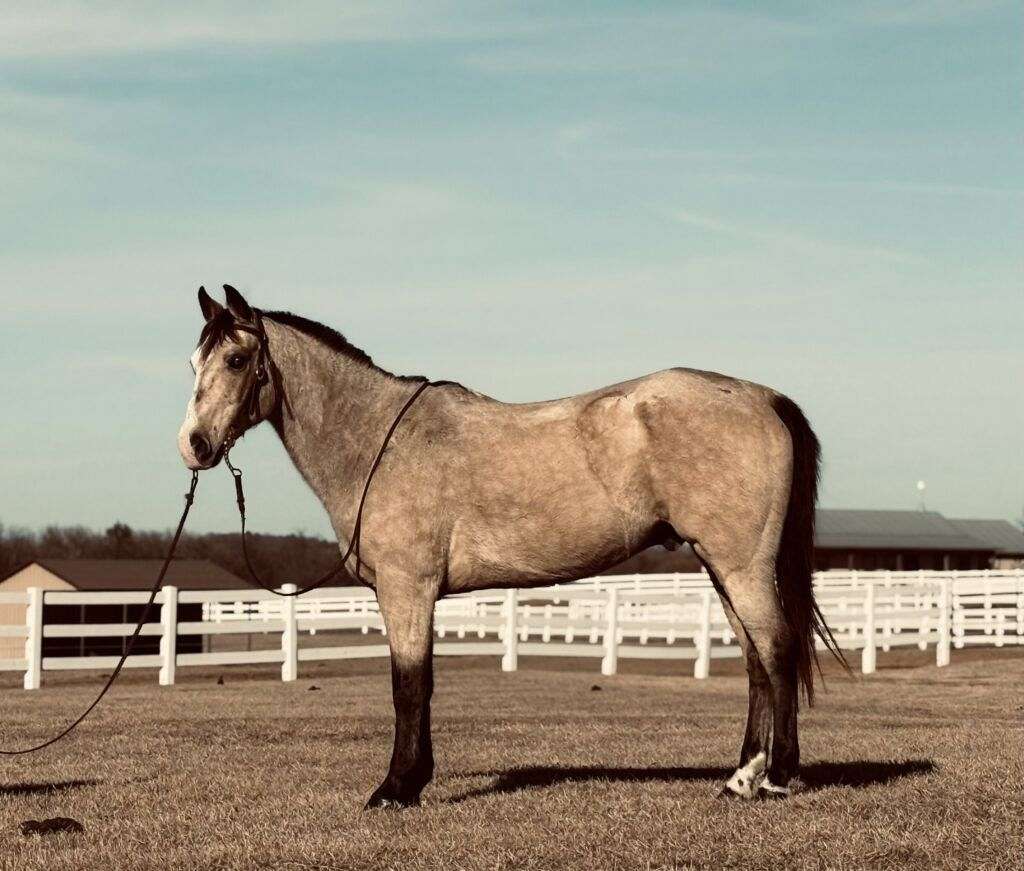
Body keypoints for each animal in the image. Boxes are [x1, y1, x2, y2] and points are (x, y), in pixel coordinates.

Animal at [178, 284, 846, 808]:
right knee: (756, 661)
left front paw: (397, 788)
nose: (195, 445)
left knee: (777, 651)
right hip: (721, 565)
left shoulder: (406, 589)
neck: (379, 441)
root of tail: (763, 398)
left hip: (741, 564)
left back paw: (775, 777)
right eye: (193, 362)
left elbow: (409, 686)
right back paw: (741, 778)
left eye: (236, 358)